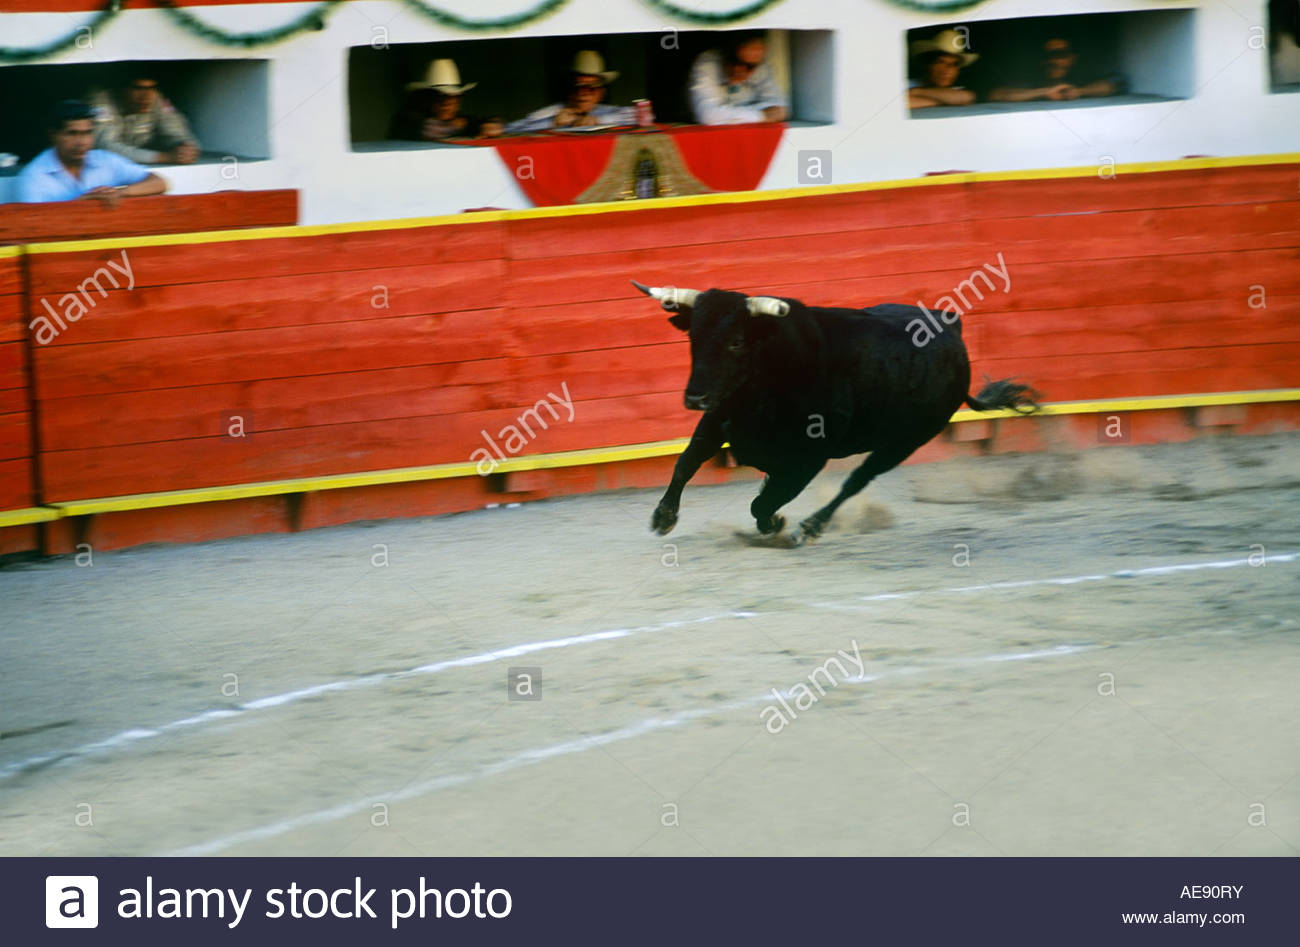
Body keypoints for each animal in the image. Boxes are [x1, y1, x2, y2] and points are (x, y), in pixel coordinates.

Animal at [632, 281, 1040, 546]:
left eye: (735, 342)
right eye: (693, 337)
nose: (694, 397)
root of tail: (953, 331)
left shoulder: (809, 458)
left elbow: (762, 501)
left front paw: (775, 523)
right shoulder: (719, 418)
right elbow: (686, 462)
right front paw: (663, 518)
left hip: (907, 441)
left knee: (857, 480)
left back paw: (811, 527)